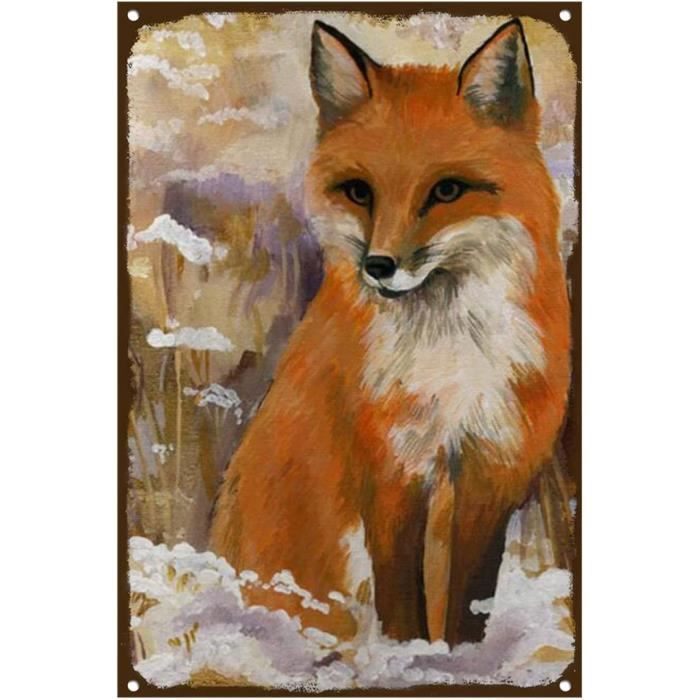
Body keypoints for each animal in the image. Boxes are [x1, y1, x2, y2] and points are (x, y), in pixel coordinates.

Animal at [210, 18, 571, 647]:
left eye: (446, 191)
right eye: (360, 191)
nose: (378, 266)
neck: (450, 363)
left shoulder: (491, 472)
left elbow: (468, 599)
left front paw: (455, 658)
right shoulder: (389, 470)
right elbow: (401, 596)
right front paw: (410, 656)